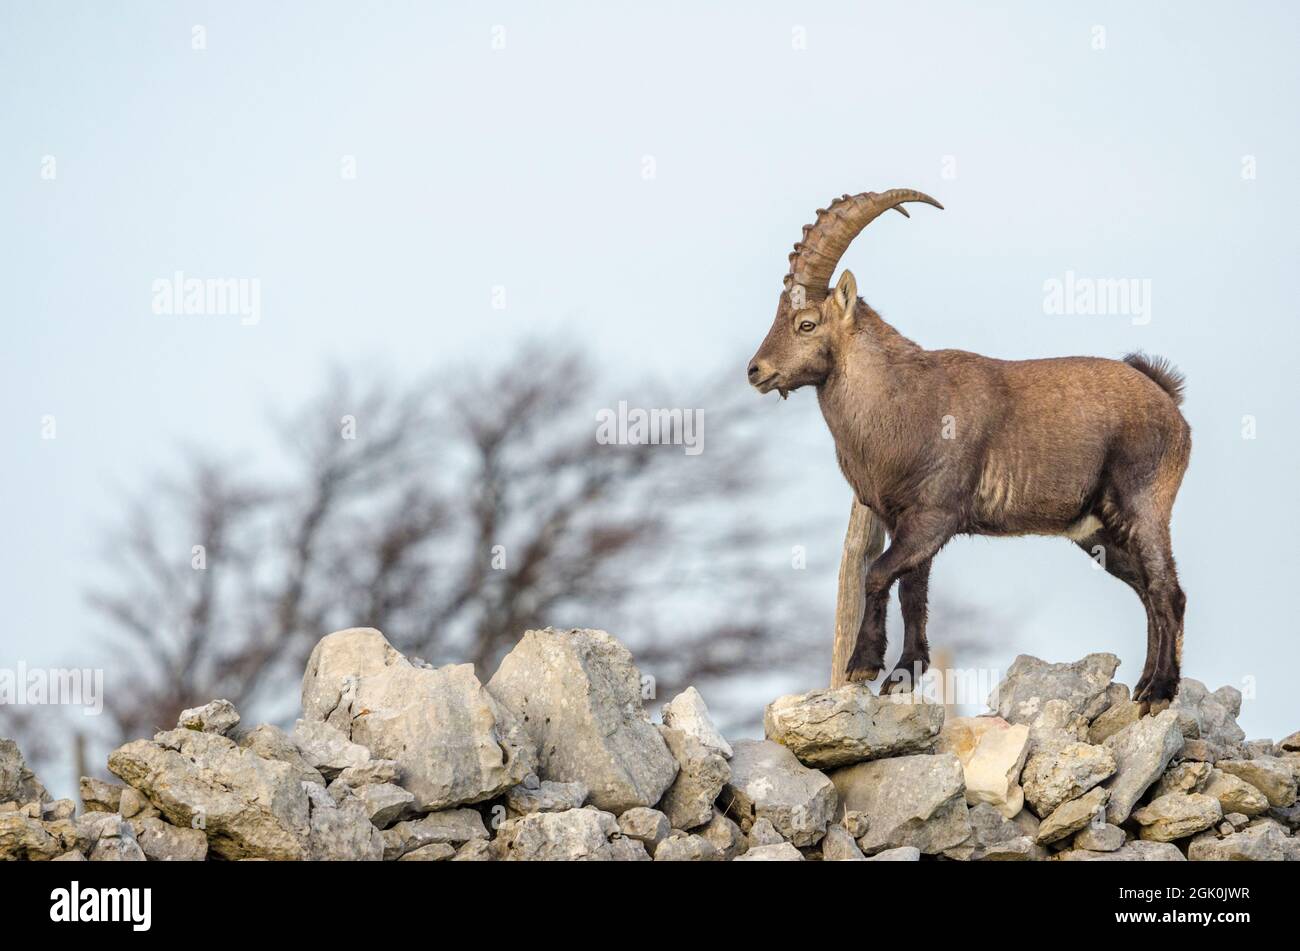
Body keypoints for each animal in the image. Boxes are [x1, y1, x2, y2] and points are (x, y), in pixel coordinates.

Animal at [747, 189, 1191, 715]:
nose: (756, 370)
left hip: (1143, 505)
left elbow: (877, 574)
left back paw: (1161, 689)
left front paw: (864, 663)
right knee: (1146, 591)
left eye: (806, 323)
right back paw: (1144, 686)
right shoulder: (904, 523)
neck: (900, 401)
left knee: (1167, 591)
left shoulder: (933, 516)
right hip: (1097, 532)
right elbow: (912, 593)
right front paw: (904, 673)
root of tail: (1168, 400)